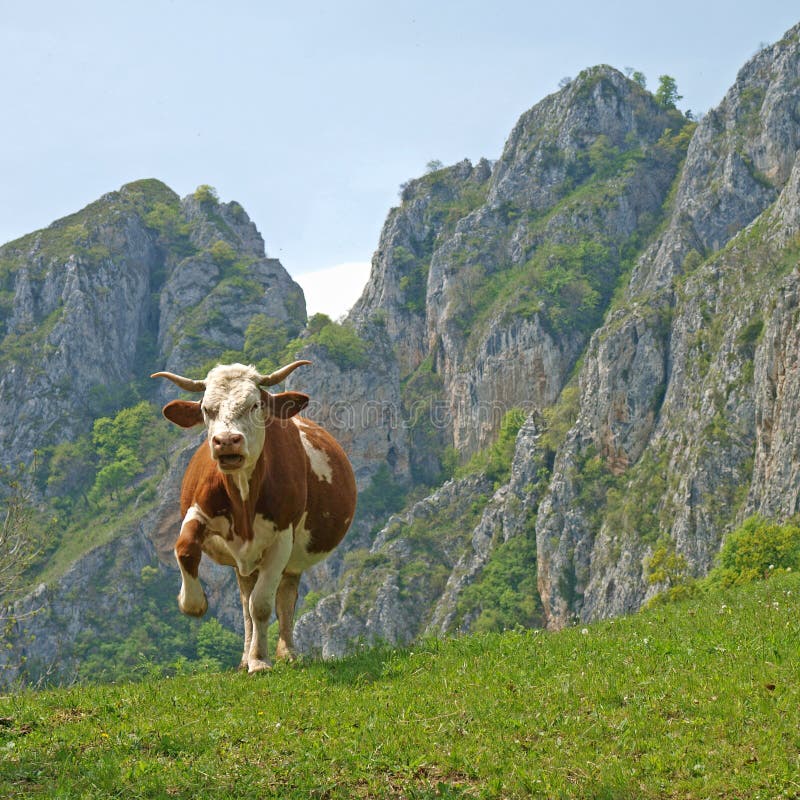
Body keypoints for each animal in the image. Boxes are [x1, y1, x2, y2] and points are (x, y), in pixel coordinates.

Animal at [151, 360, 356, 672]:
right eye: (206, 409)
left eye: (255, 405)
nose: (226, 441)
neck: (244, 501)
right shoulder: (198, 512)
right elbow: (184, 548)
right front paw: (193, 604)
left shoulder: (281, 538)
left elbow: (261, 605)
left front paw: (260, 661)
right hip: (244, 565)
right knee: (247, 603)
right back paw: (244, 658)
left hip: (292, 560)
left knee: (283, 599)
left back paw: (286, 653)